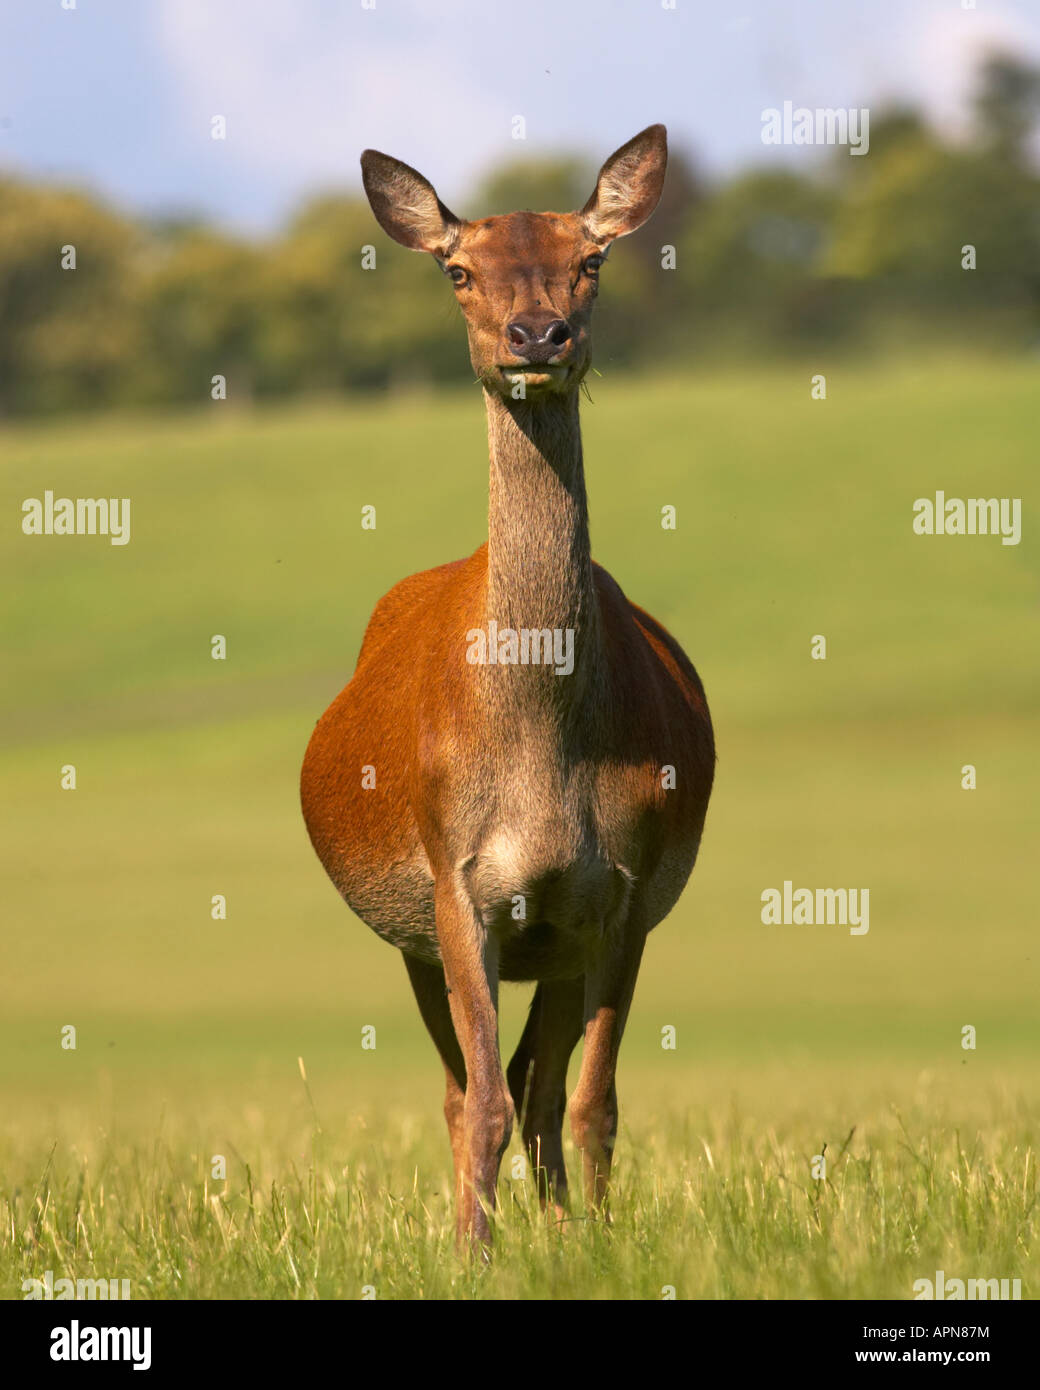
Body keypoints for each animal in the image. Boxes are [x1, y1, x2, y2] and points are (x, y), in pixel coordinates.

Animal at [300, 124, 715, 1252]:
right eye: (458, 270)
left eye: (592, 259)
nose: (538, 334)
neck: (545, 756)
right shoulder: (456, 884)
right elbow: (482, 1098)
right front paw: (474, 1254)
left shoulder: (618, 895)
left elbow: (590, 1099)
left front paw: (597, 1244)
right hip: (411, 931)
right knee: (468, 1090)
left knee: (540, 1079)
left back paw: (563, 1227)